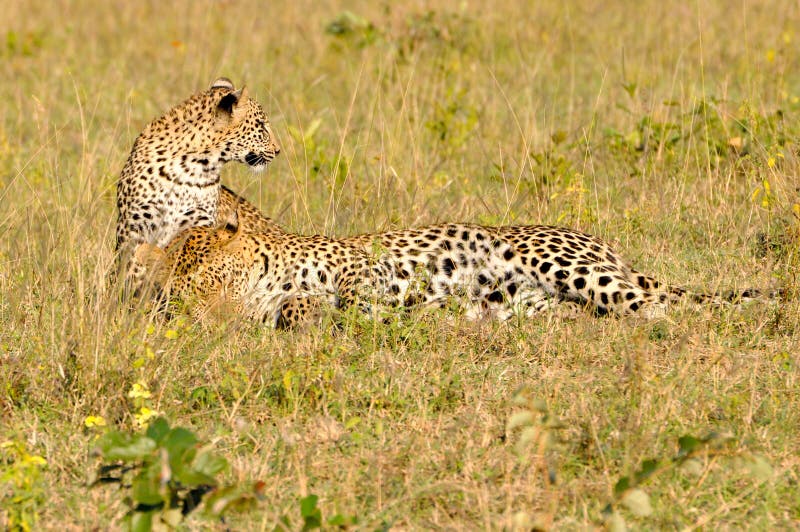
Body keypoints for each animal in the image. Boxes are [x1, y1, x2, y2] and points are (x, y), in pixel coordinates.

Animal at [114, 77, 282, 290]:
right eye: (261, 126)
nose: (278, 150)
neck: (193, 166)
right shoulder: (134, 228)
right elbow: (132, 271)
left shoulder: (198, 224)